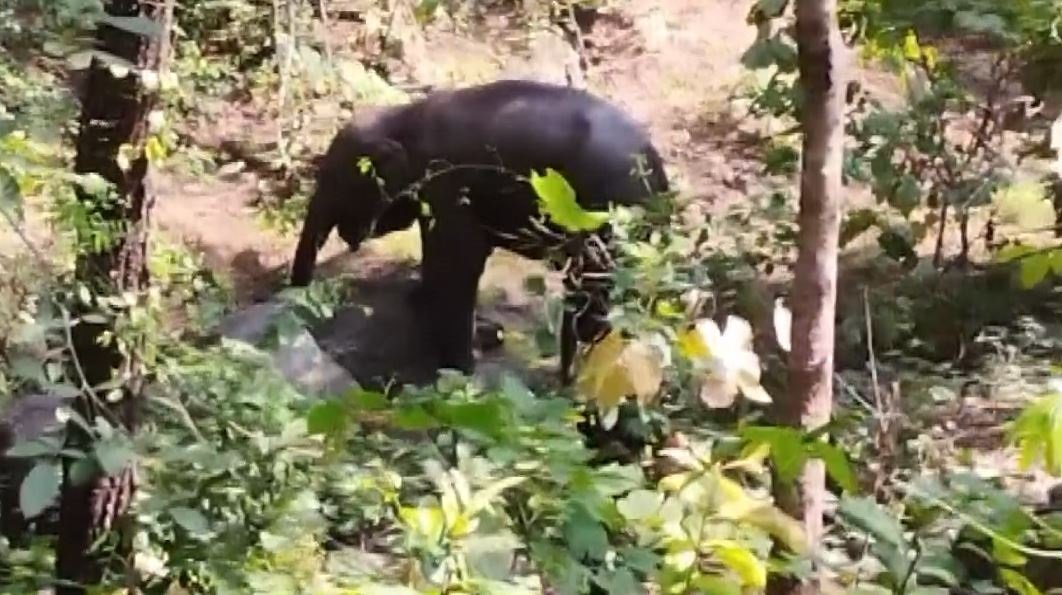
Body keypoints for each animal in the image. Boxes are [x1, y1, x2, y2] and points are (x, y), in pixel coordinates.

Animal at [289, 79, 670, 384]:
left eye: (334, 180)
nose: (300, 294)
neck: (403, 115)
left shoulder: (446, 180)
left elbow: (459, 261)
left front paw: (457, 373)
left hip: (602, 215)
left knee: (590, 298)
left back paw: (569, 384)